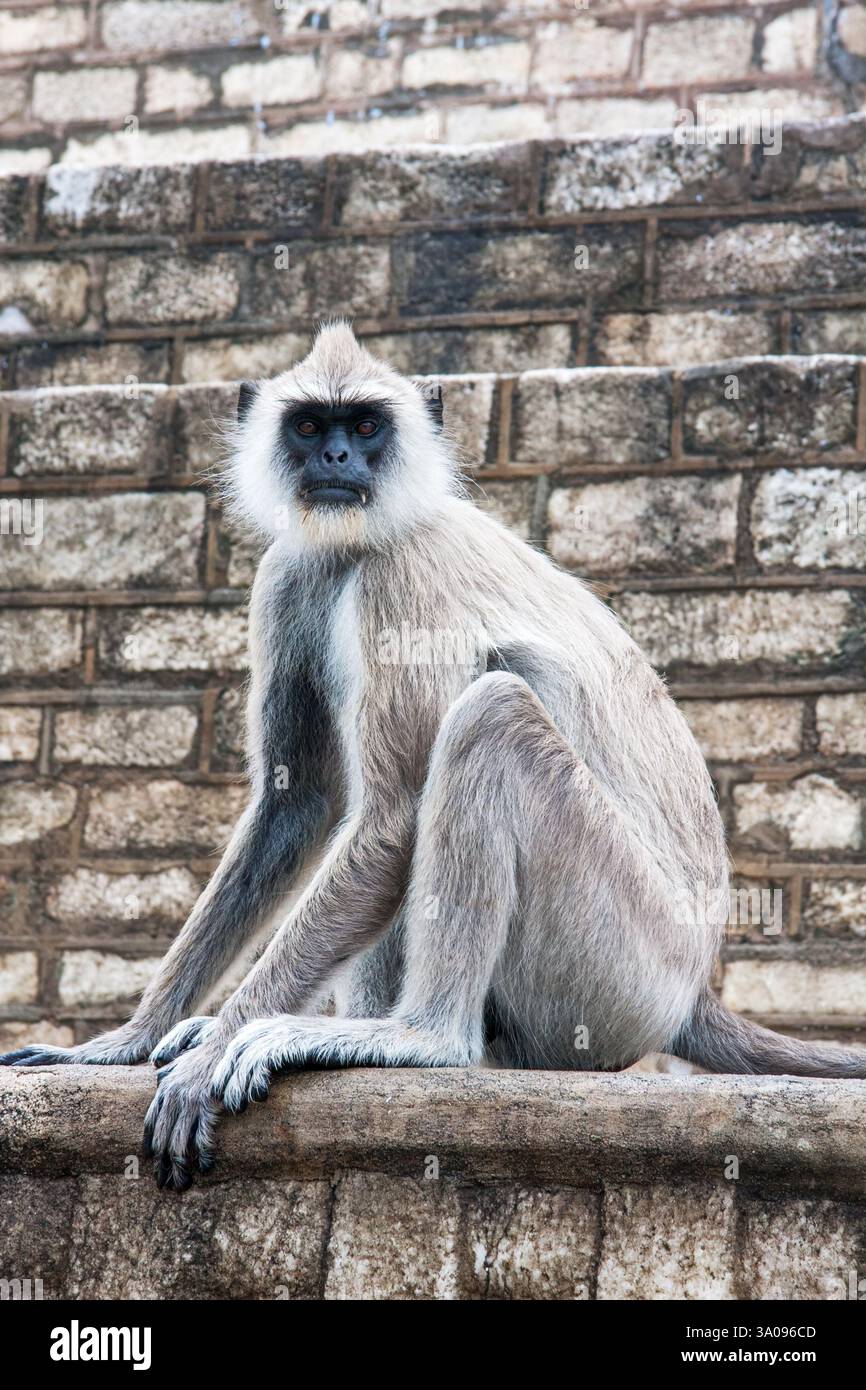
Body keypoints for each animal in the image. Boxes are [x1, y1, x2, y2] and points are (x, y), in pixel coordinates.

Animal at [3, 320, 865, 1192]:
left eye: (367, 426)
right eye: (310, 426)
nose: (336, 459)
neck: (362, 544)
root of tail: (693, 986)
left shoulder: (402, 576)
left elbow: (387, 820)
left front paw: (207, 1055)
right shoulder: (290, 572)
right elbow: (296, 805)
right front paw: (128, 1041)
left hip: (626, 963)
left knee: (488, 719)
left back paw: (419, 1040)